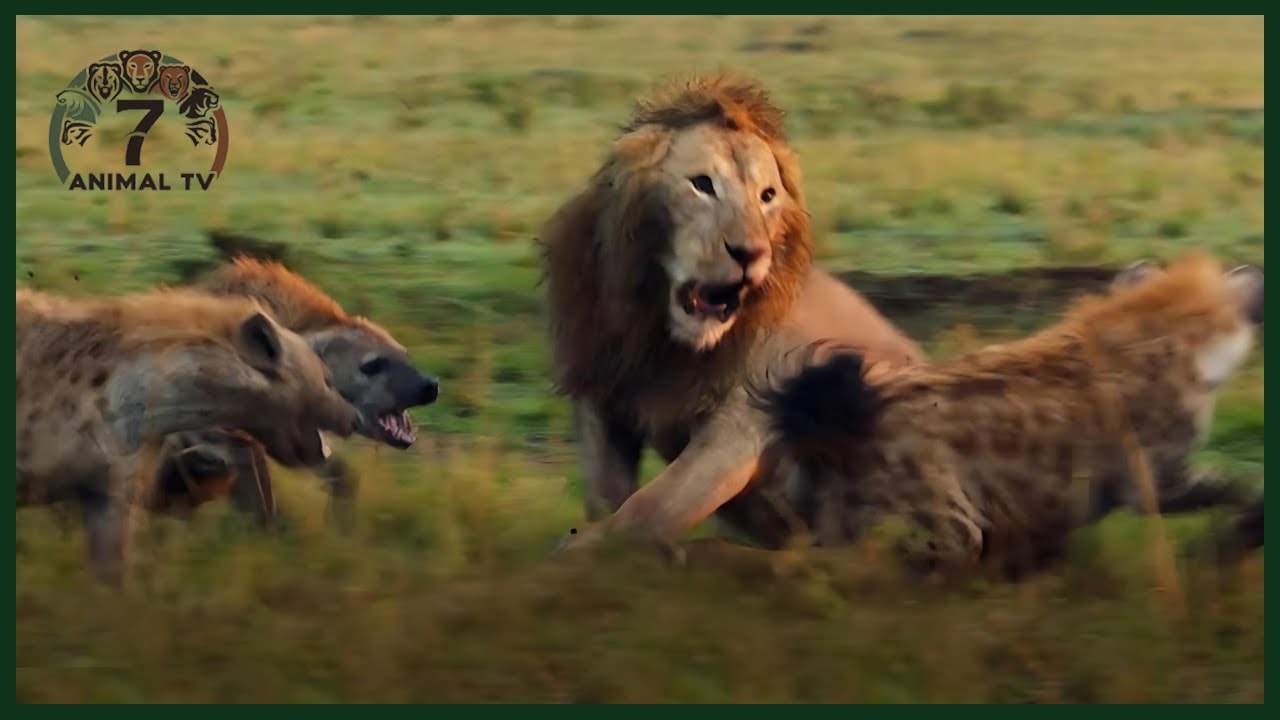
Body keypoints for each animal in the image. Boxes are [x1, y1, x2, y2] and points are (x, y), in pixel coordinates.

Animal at [541, 74, 926, 552]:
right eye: (702, 185)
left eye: (767, 196)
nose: (750, 253)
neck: (660, 333)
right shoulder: (602, 391)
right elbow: (607, 497)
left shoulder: (743, 421)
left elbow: (653, 505)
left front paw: (587, 548)